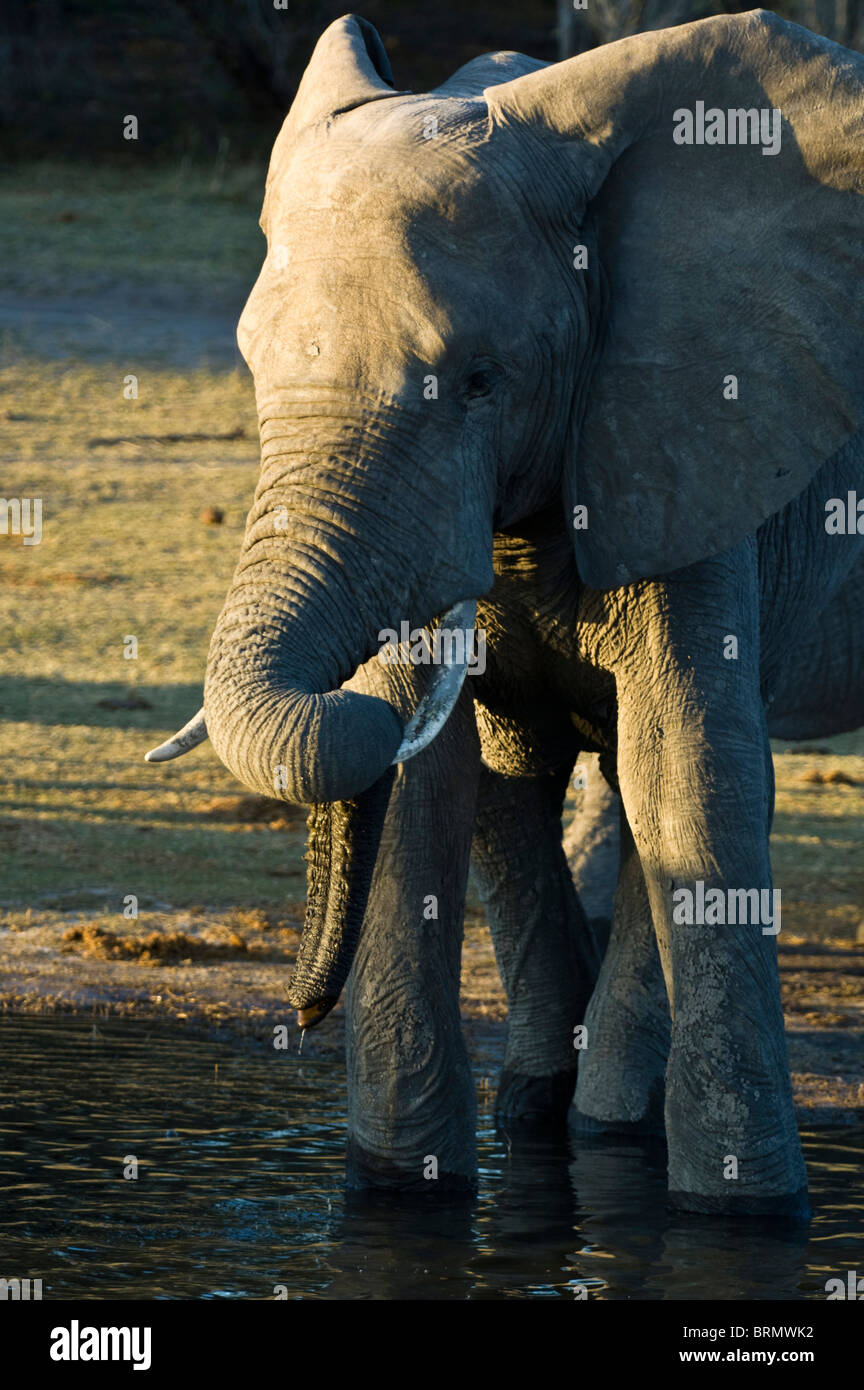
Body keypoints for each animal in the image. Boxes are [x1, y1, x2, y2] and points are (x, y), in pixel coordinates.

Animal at [145, 11, 864, 1215]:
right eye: (249, 365)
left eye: (479, 382)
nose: (300, 1011)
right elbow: (444, 785)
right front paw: (404, 1188)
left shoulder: (692, 433)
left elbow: (692, 772)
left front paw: (742, 1212)